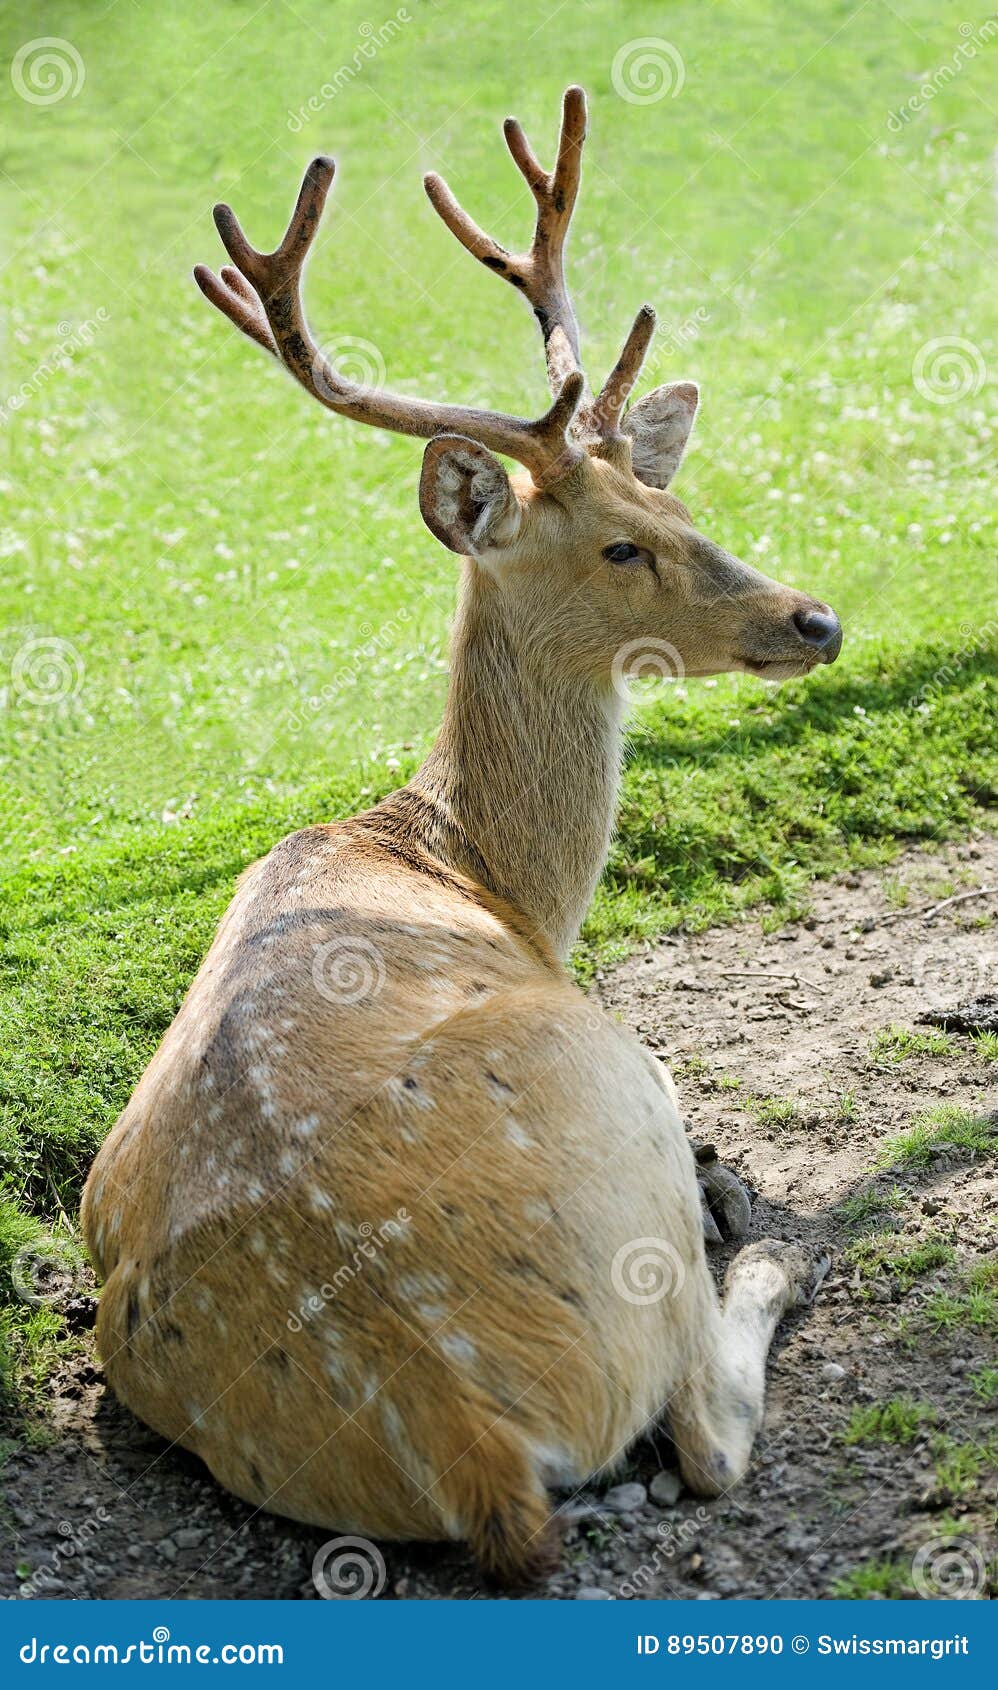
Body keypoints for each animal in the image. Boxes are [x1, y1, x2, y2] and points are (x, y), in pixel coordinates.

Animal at [81, 87, 841, 1585]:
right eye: (617, 549)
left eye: (676, 504)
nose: (813, 618)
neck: (476, 871)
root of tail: (478, 1444)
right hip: (618, 1100)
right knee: (702, 1434)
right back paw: (765, 1247)